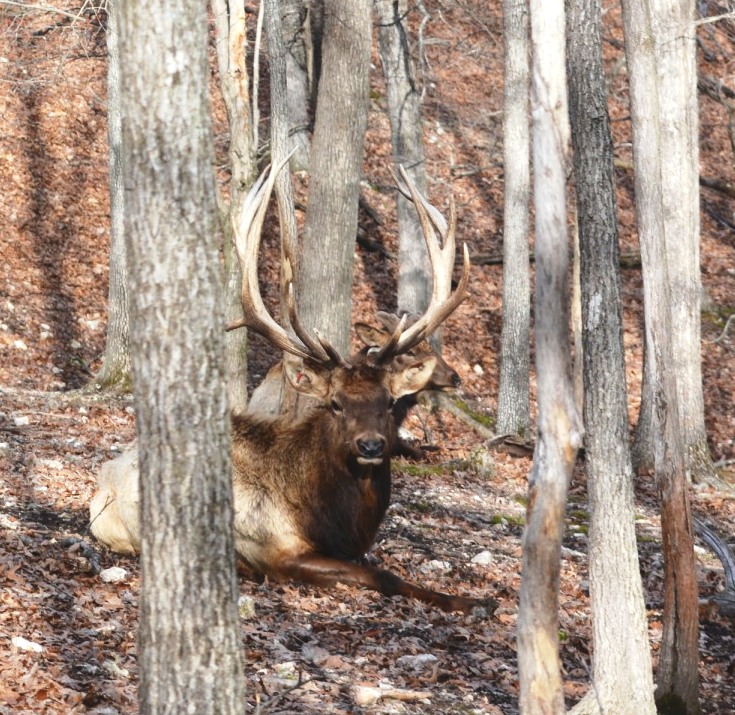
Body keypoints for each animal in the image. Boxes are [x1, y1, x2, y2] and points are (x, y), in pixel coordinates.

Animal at [90, 161, 493, 614]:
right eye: (335, 403)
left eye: (390, 401)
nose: (371, 444)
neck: (332, 520)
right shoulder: (278, 551)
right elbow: (384, 576)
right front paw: (472, 601)